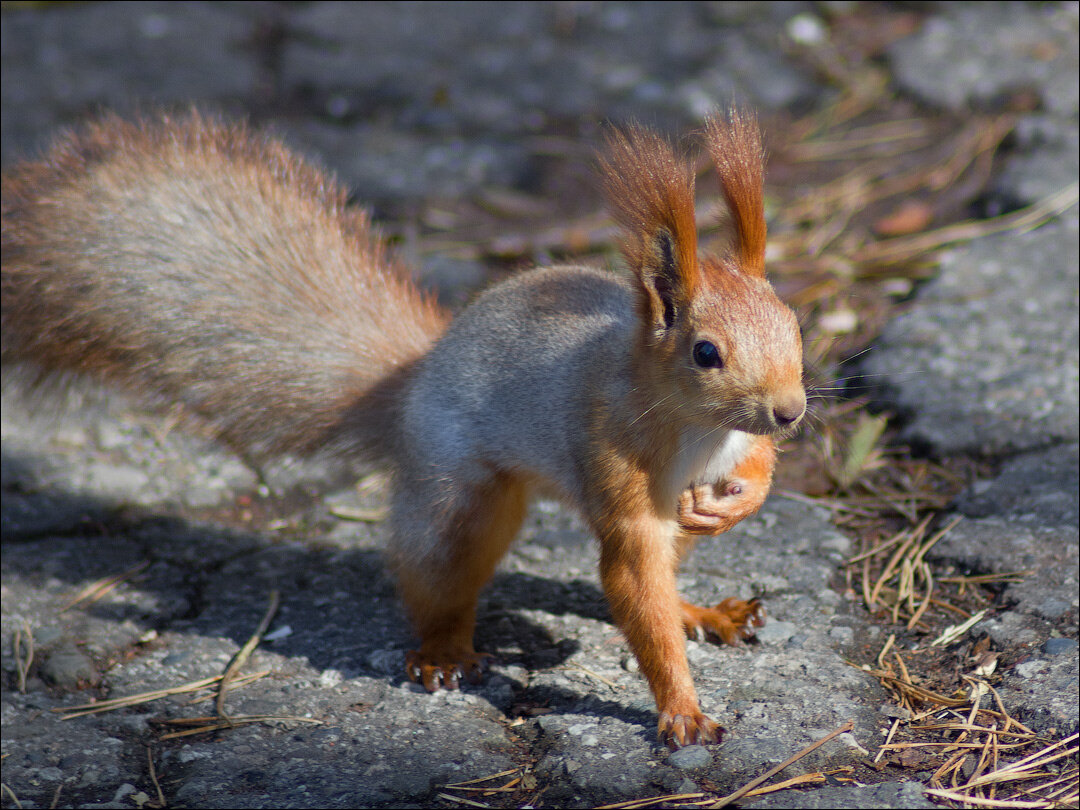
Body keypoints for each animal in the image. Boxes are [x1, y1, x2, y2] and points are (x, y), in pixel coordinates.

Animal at [2, 108, 803, 747]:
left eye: (795, 324)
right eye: (706, 353)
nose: (792, 409)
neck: (699, 431)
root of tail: (416, 376)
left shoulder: (736, 447)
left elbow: (757, 472)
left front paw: (738, 502)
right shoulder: (613, 452)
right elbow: (632, 577)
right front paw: (682, 712)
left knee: (669, 578)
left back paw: (704, 610)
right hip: (458, 496)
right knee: (440, 575)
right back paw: (443, 653)